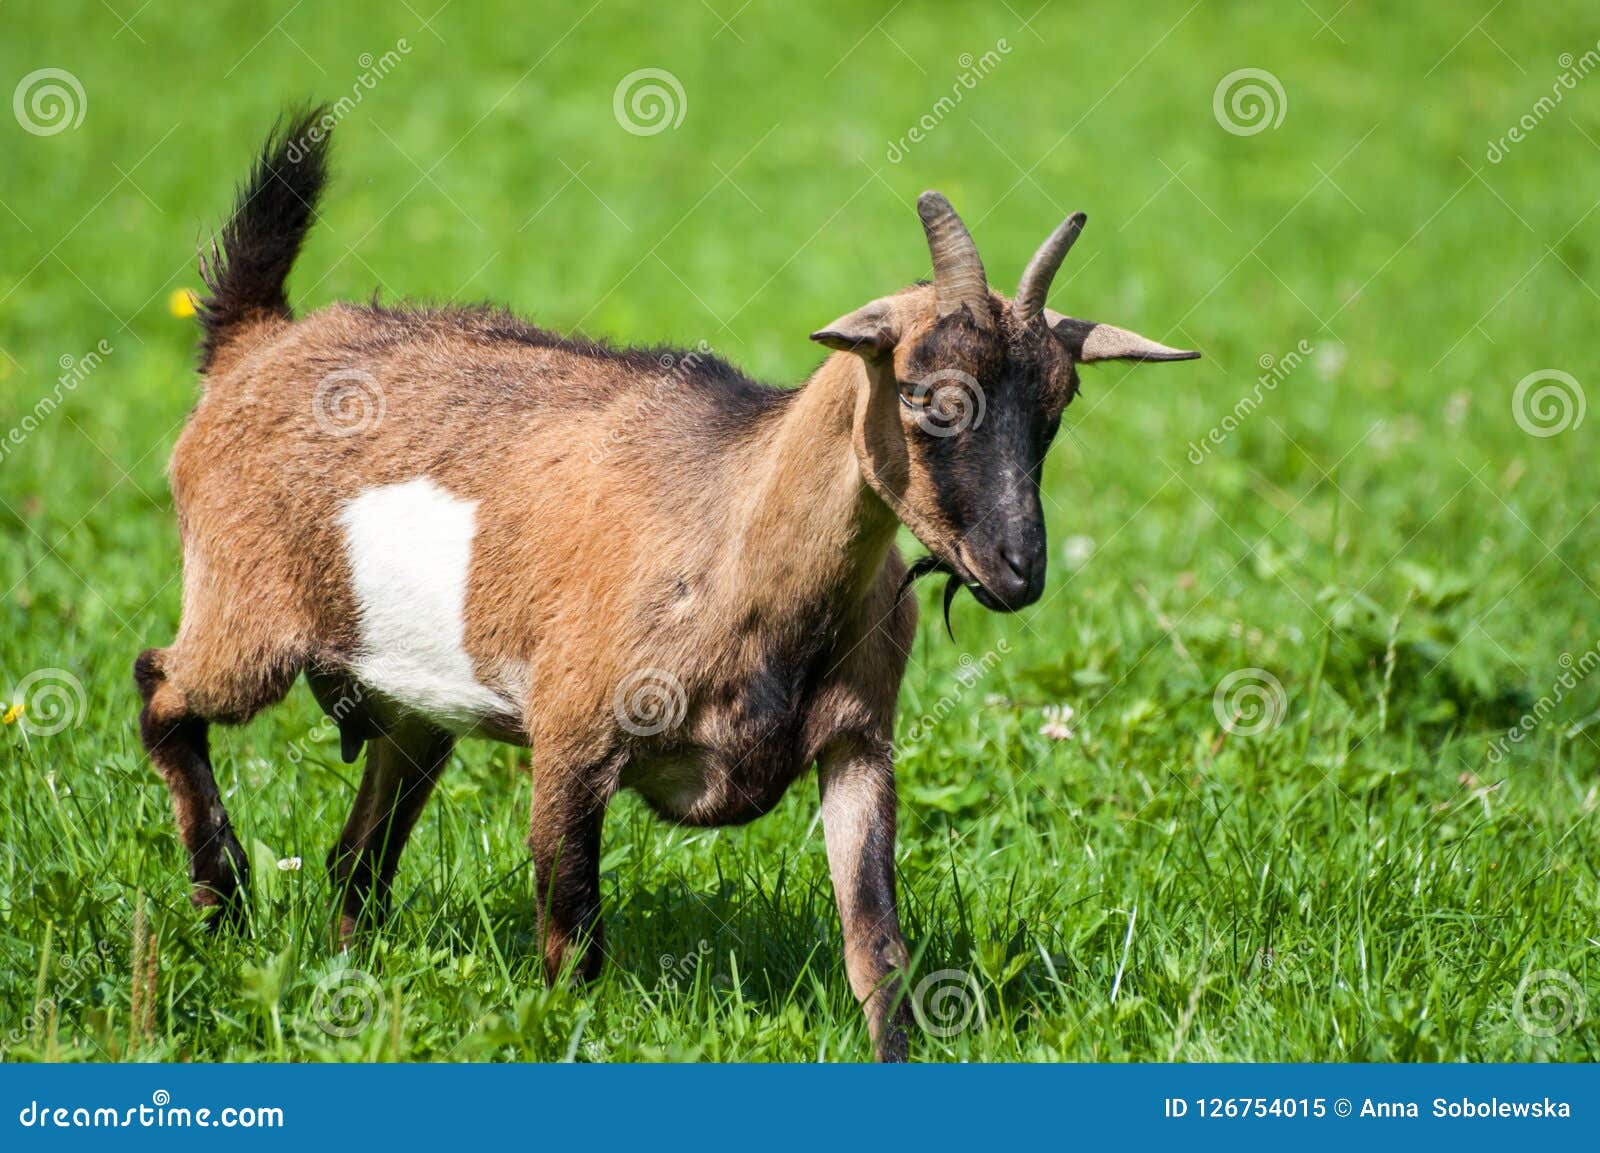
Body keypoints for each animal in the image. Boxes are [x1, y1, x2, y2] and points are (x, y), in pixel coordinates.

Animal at [135, 107, 1198, 1061]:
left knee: (356, 855)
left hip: (412, 701)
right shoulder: (572, 739)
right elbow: (572, 931)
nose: (1018, 570)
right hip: (248, 618)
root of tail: (257, 345)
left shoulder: (858, 744)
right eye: (928, 397)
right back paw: (223, 900)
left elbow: (878, 943)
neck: (738, 542)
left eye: (1057, 407)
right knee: (161, 686)